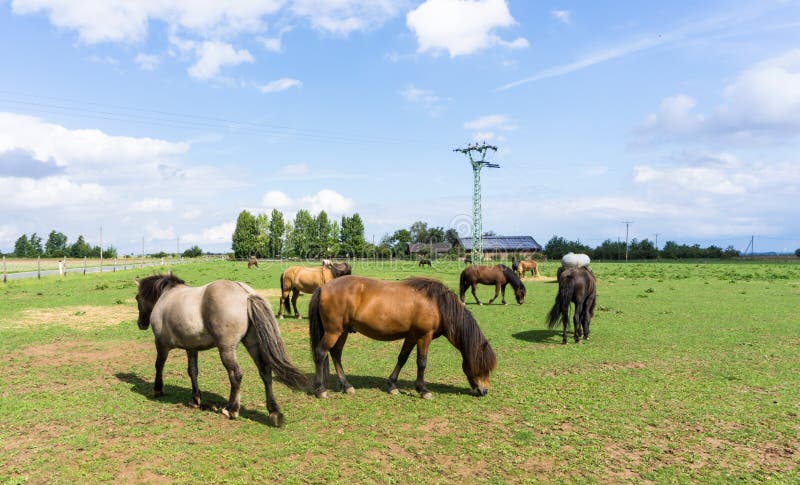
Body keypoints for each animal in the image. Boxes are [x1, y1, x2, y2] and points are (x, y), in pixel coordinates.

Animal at [134, 274, 307, 426]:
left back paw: (231, 410)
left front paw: (157, 389)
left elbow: (159, 365)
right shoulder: (191, 348)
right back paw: (274, 412)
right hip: (253, 344)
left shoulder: (161, 344)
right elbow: (192, 371)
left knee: (235, 375)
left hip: (227, 349)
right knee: (265, 372)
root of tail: (246, 294)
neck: (166, 297)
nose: (140, 324)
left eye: (137, 298)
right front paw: (195, 399)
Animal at [308, 275, 496, 399]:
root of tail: (323, 288)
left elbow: (402, 358)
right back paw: (320, 390)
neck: (437, 304)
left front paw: (392, 386)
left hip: (343, 331)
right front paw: (423, 390)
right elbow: (422, 362)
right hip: (334, 331)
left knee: (336, 354)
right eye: (482, 365)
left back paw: (347, 386)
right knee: (320, 353)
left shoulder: (412, 336)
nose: (484, 391)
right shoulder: (424, 336)